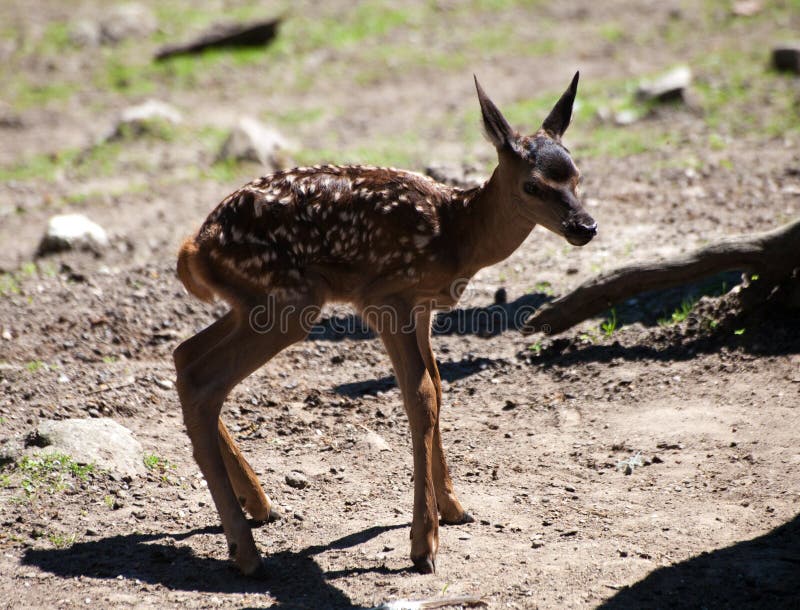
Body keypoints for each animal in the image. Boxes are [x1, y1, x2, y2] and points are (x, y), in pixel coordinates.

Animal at [173, 72, 596, 576]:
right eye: (533, 186)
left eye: (577, 176)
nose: (586, 226)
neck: (456, 234)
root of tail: (195, 247)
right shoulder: (383, 297)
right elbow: (421, 396)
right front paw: (424, 544)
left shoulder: (422, 306)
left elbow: (437, 384)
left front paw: (453, 507)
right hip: (290, 301)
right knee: (204, 379)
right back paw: (245, 549)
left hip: (253, 303)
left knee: (184, 356)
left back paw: (259, 505)